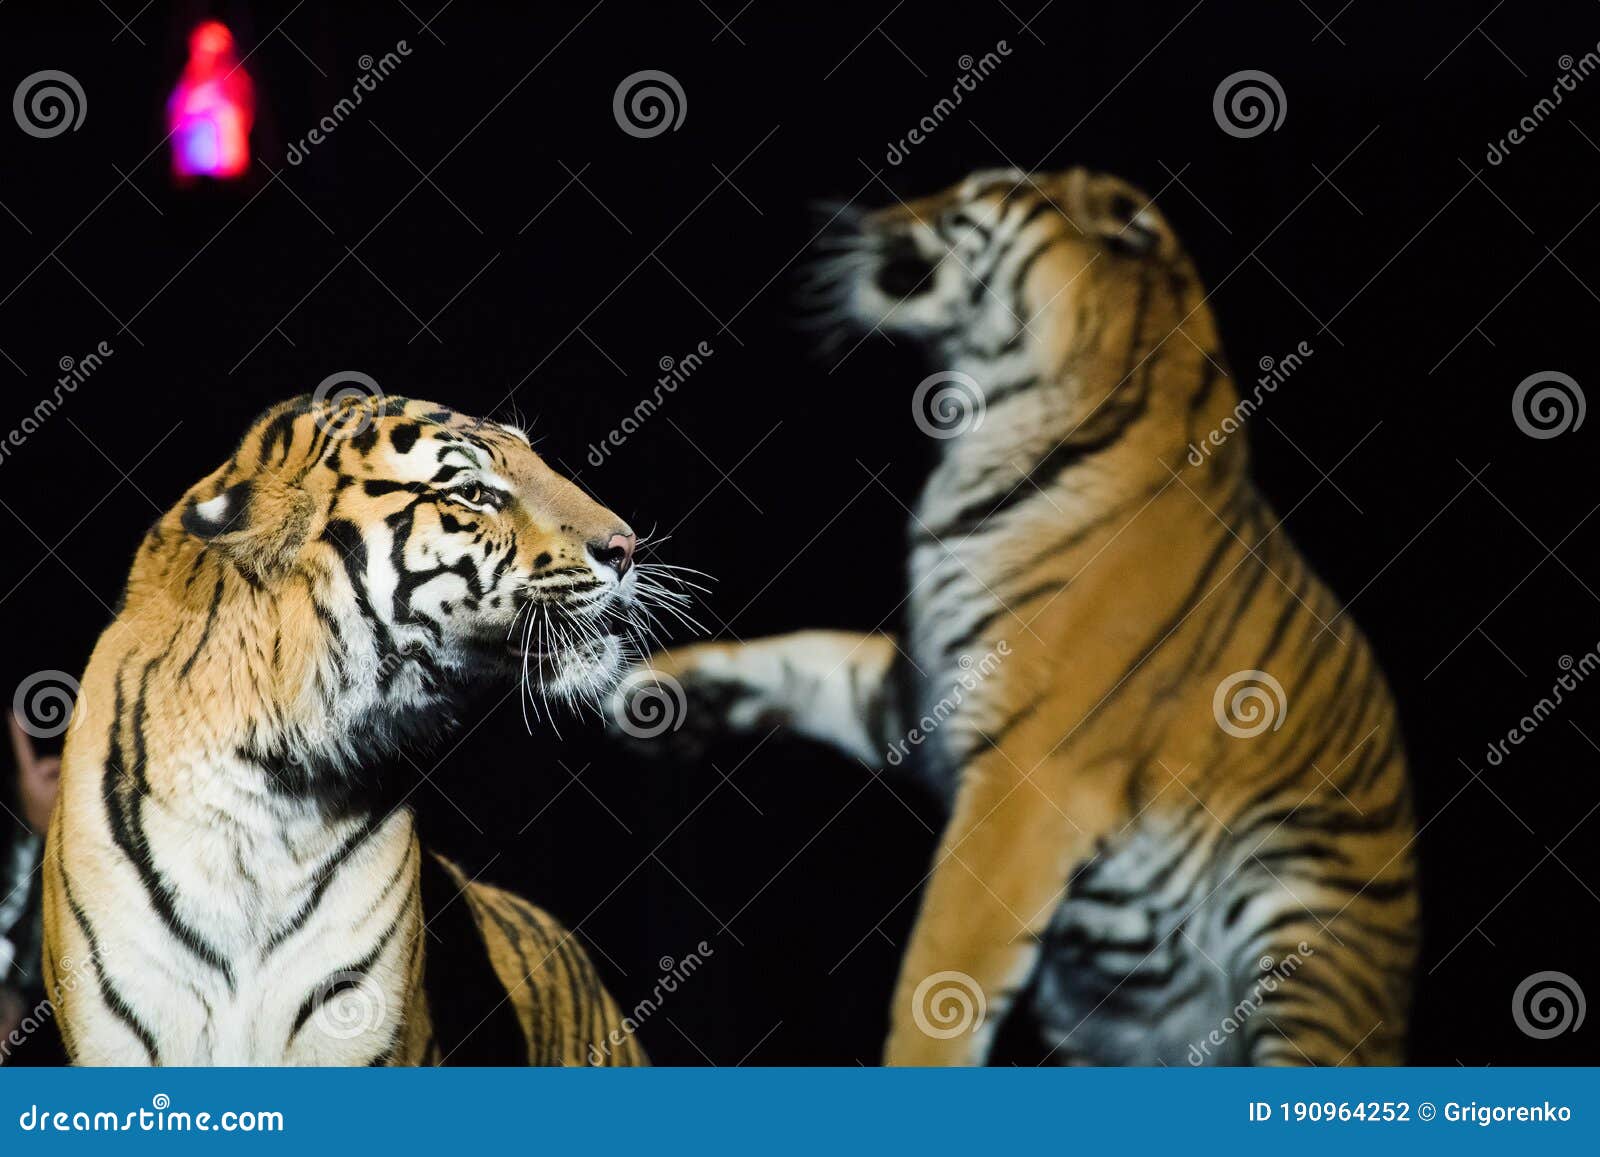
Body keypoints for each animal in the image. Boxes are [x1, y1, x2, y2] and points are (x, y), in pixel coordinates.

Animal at [627, 168, 1417, 1065]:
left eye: (972, 195)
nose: (861, 215)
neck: (986, 427)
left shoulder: (1028, 773)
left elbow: (941, 970)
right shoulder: (923, 694)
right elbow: (811, 655)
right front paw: (657, 693)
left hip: (1305, 938)